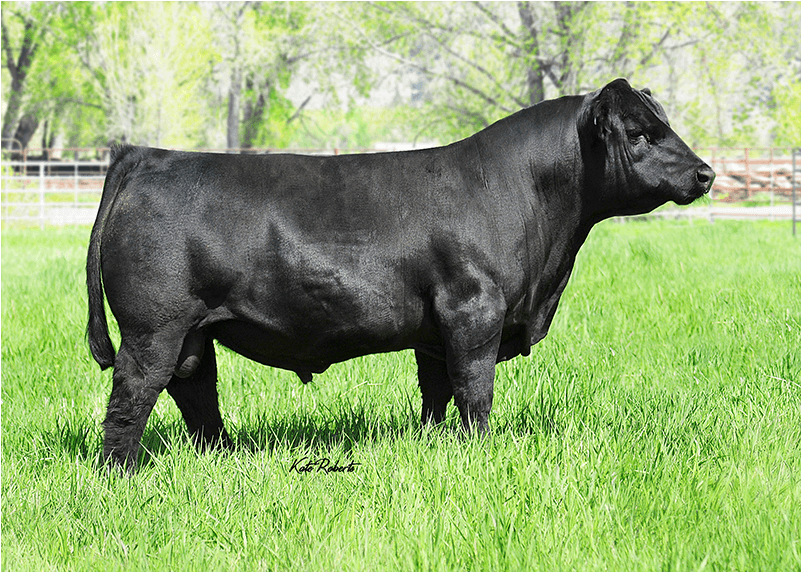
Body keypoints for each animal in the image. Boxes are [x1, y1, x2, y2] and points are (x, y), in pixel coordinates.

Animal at [87, 78, 714, 472]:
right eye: (638, 133)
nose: (706, 173)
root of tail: (146, 155)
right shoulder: (473, 312)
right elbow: (475, 392)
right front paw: (481, 454)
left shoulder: (436, 332)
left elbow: (437, 395)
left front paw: (438, 446)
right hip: (153, 329)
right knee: (131, 400)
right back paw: (121, 478)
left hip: (193, 332)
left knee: (195, 392)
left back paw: (223, 458)